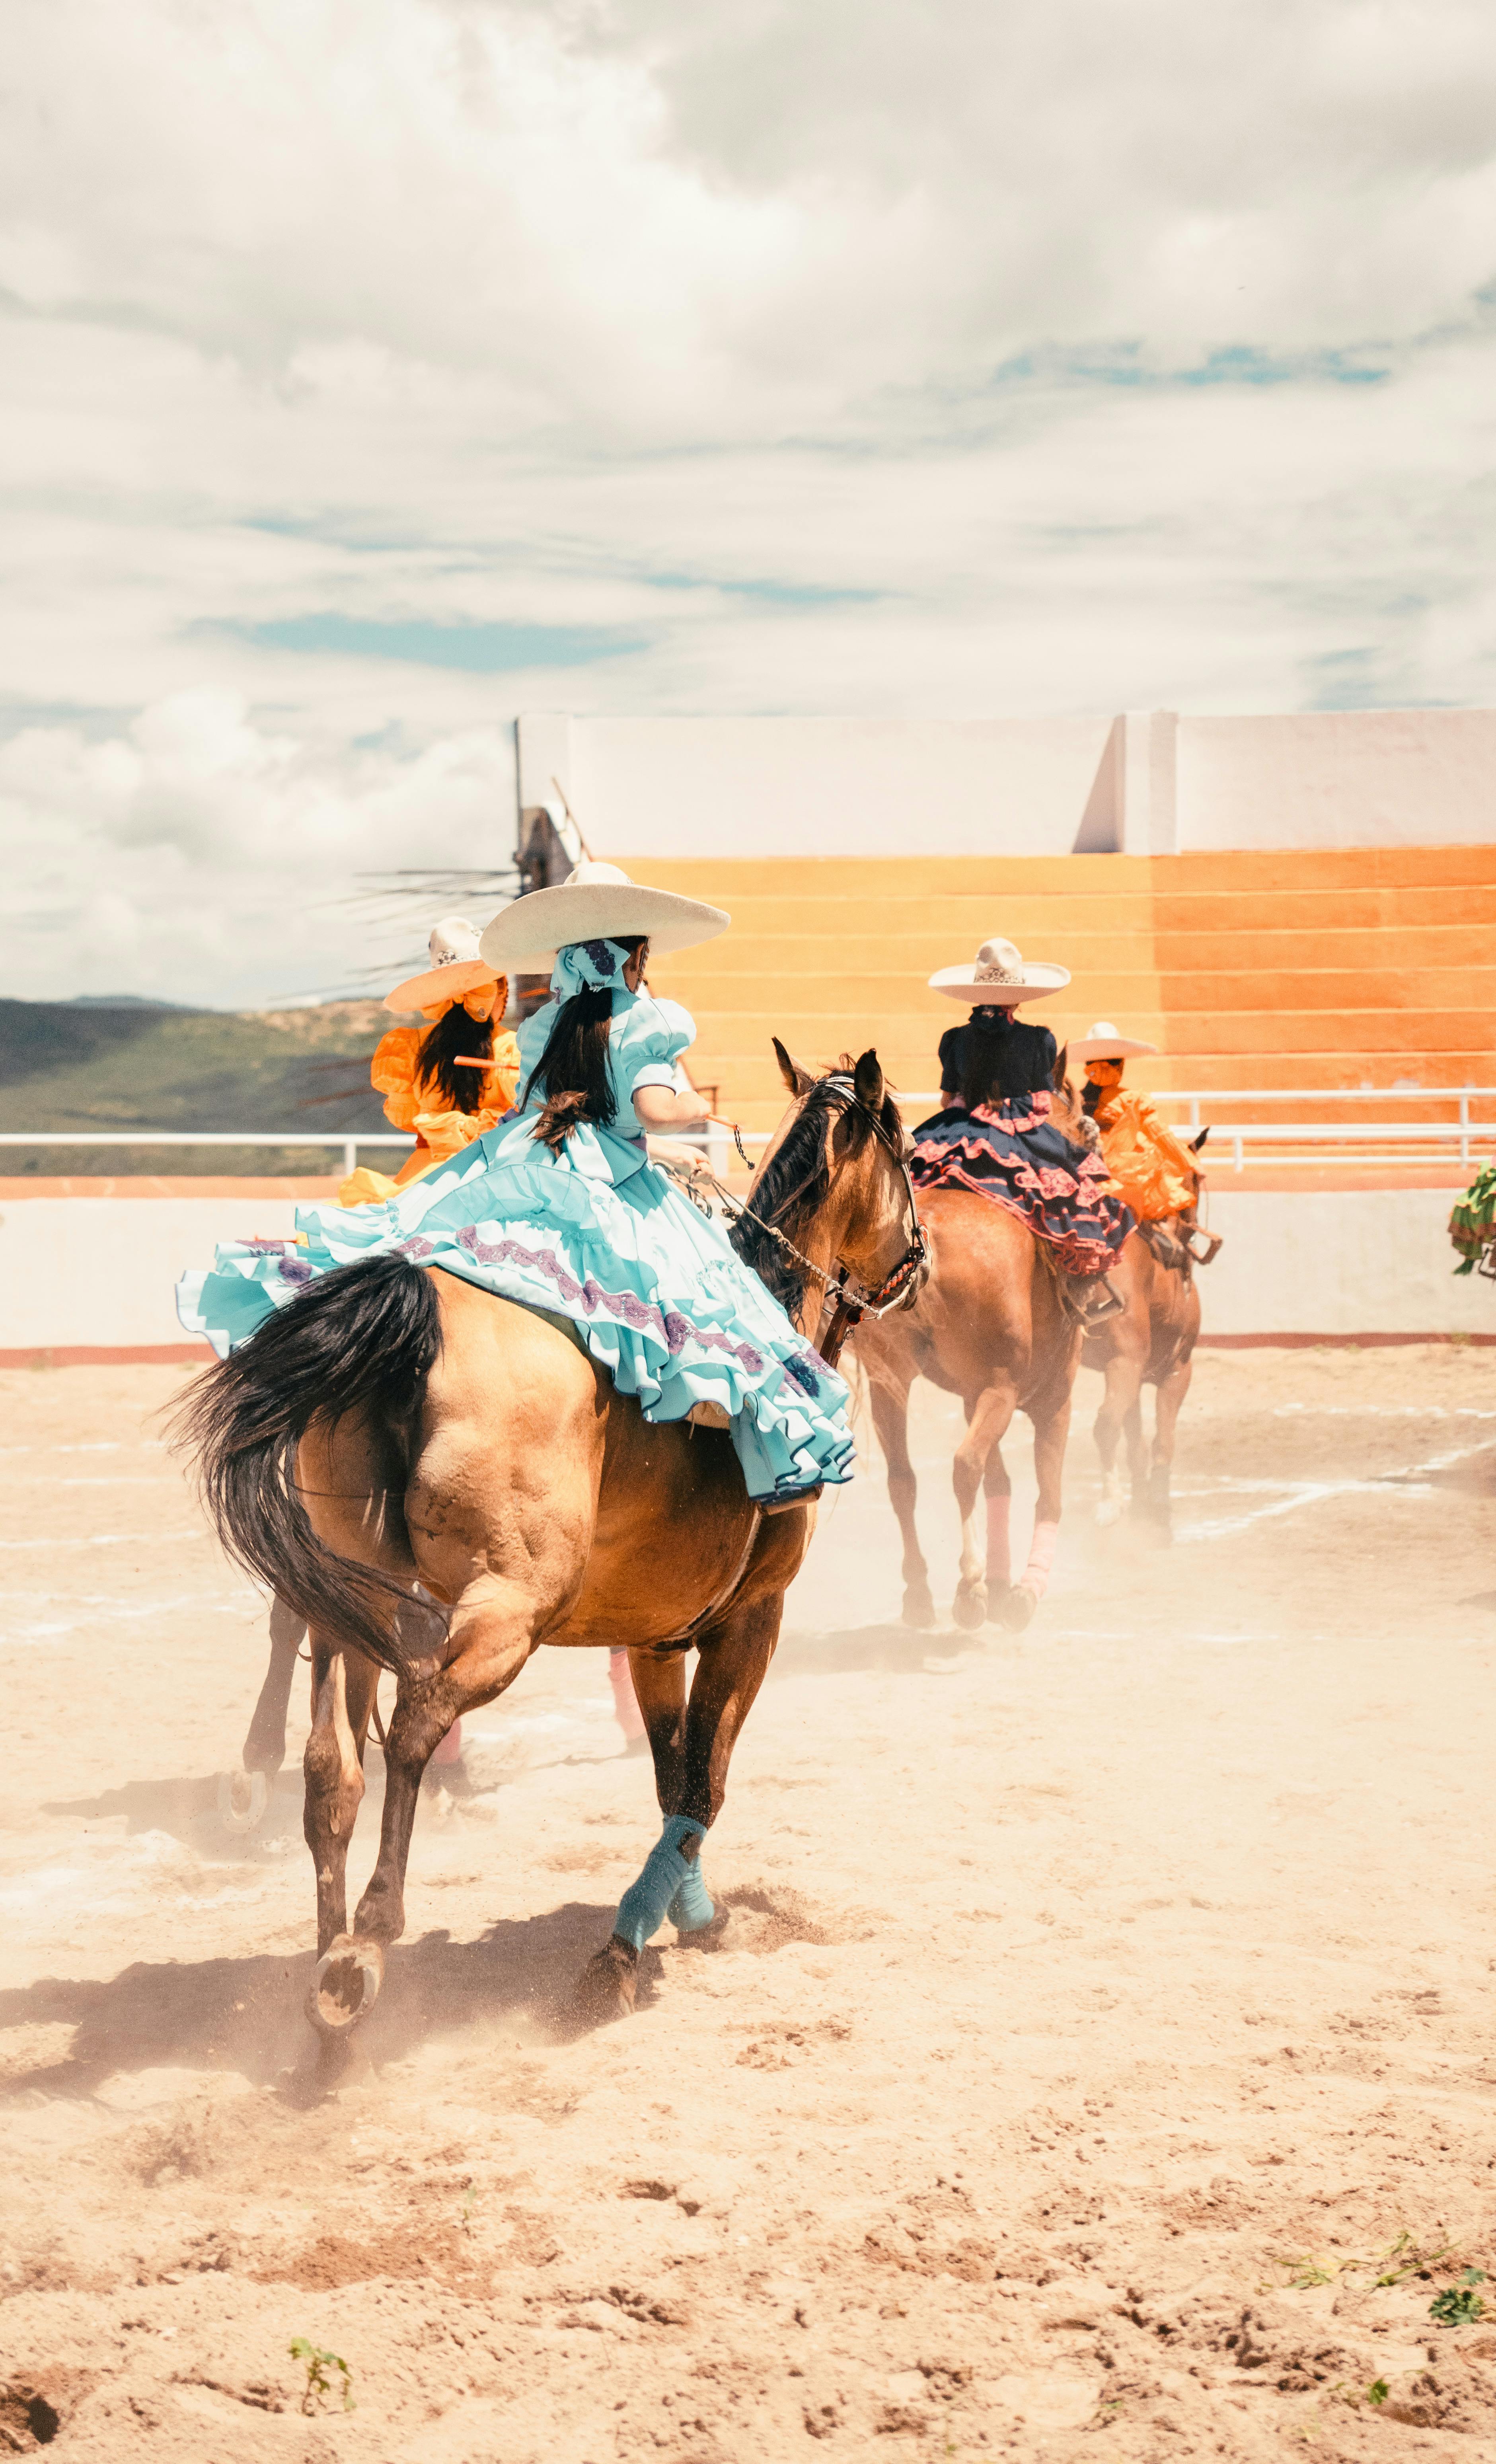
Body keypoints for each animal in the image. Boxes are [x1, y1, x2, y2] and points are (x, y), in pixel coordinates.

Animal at [173, 1044, 923, 2039]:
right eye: (907, 1154)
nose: (921, 1255)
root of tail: (415, 1303)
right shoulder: (750, 1622)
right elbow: (704, 1785)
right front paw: (627, 1948)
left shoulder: (654, 1638)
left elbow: (671, 1779)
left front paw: (682, 1914)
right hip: (507, 1608)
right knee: (415, 1722)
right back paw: (367, 1945)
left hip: (352, 1601)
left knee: (332, 1765)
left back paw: (325, 1959)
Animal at [851, 1052, 1100, 1634]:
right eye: (1082, 1126)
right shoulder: (1050, 1398)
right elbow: (1046, 1494)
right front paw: (1022, 1589)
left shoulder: (970, 1395)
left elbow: (999, 1482)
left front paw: (1004, 1579)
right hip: (1004, 1390)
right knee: (965, 1468)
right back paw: (969, 1587)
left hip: (890, 1385)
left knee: (904, 1481)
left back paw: (921, 1593)